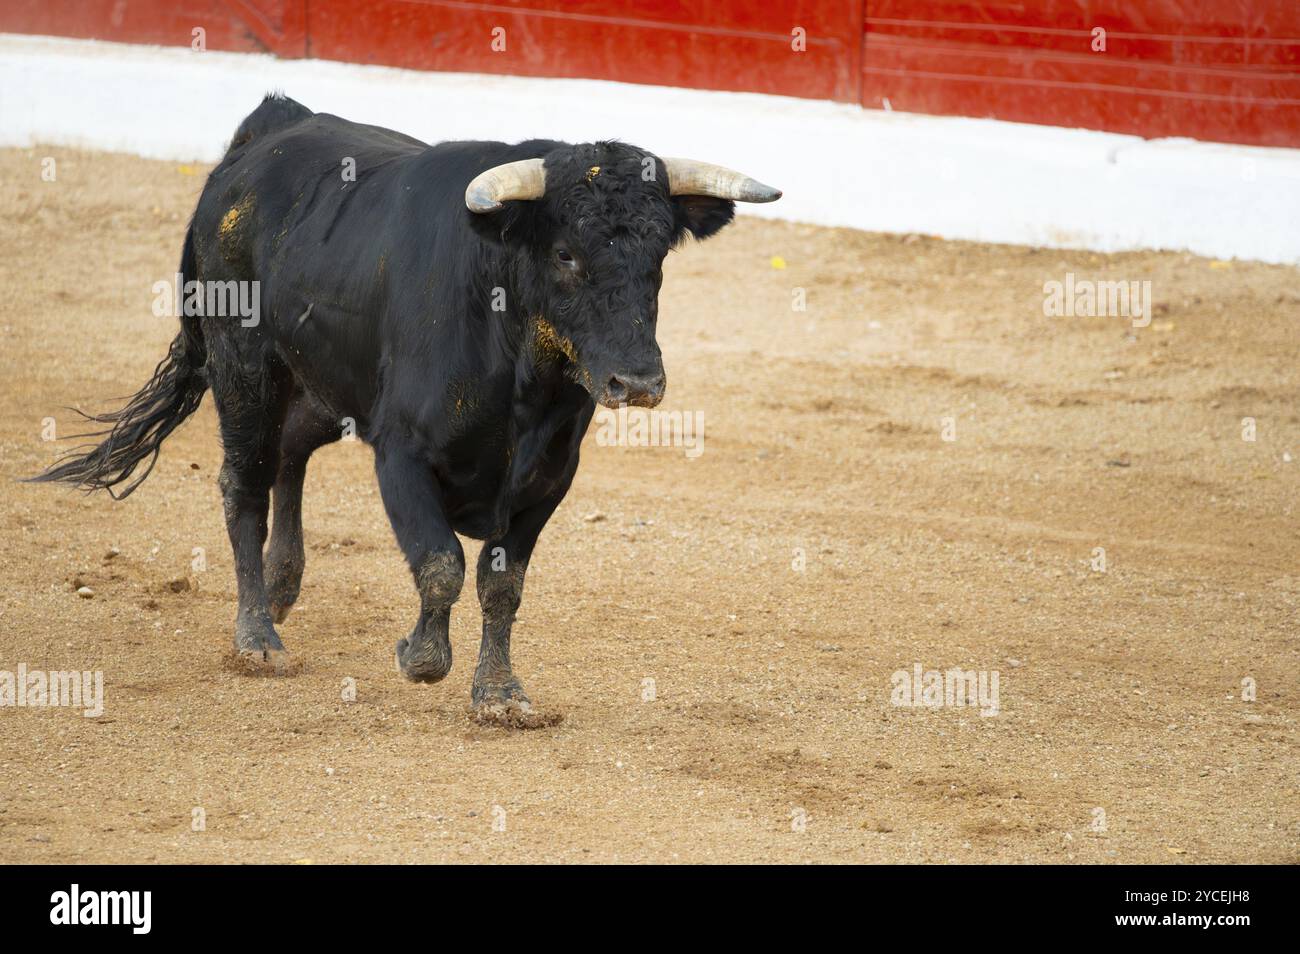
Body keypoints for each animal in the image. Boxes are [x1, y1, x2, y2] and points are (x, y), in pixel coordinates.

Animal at [33, 93, 780, 725]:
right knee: (244, 480)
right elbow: (442, 563)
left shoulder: (549, 480)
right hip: (241, 363)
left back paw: (280, 586)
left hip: (325, 384)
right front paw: (420, 658)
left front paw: (500, 694)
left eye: (659, 257)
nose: (639, 380)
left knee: (289, 453)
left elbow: (501, 585)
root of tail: (269, 130)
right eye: (566, 253)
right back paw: (258, 636)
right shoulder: (402, 454)